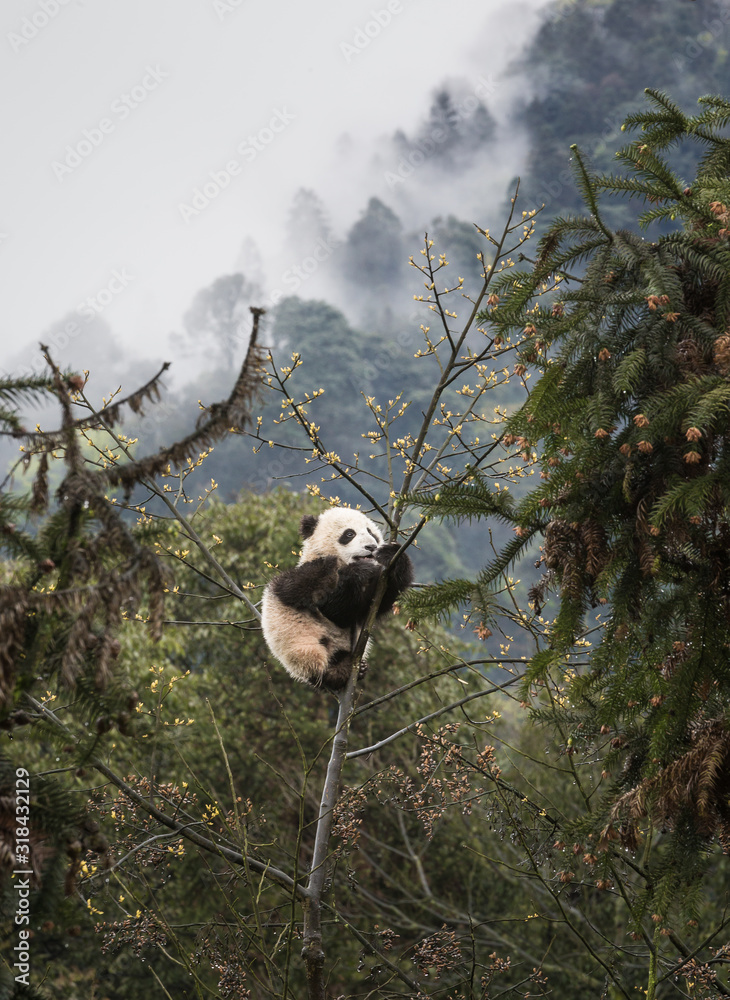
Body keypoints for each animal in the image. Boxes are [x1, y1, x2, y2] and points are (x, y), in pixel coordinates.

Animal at [261, 508, 413, 691]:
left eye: (371, 532)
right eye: (349, 534)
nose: (371, 546)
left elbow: (376, 603)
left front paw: (391, 555)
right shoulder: (307, 578)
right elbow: (336, 611)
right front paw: (359, 570)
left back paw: (358, 668)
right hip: (304, 647)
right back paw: (342, 668)